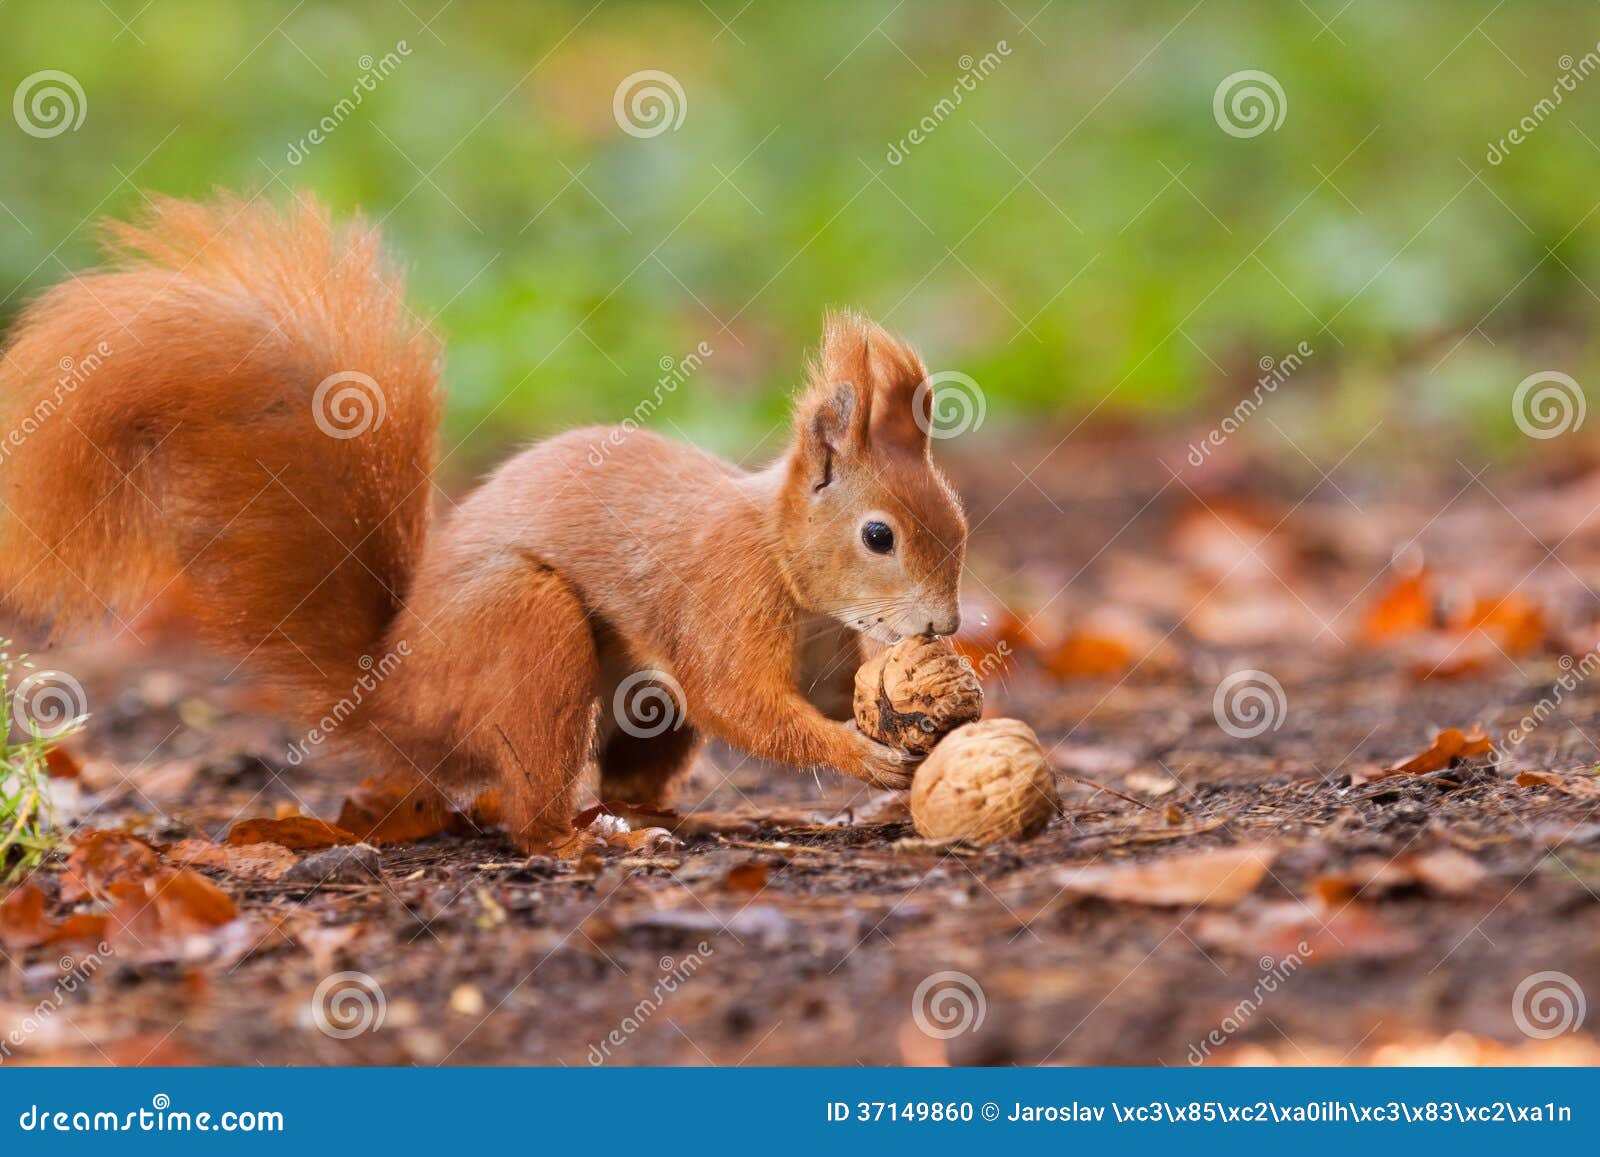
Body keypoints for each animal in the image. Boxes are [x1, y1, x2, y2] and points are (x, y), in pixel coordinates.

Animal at [0, 193, 968, 851]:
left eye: (958, 520)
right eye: (878, 536)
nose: (947, 623)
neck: (783, 561)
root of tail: (392, 688)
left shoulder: (825, 641)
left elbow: (823, 694)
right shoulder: (721, 596)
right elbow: (742, 702)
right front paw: (865, 754)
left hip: (639, 710)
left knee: (626, 778)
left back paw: (672, 817)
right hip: (525, 627)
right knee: (532, 805)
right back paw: (581, 841)